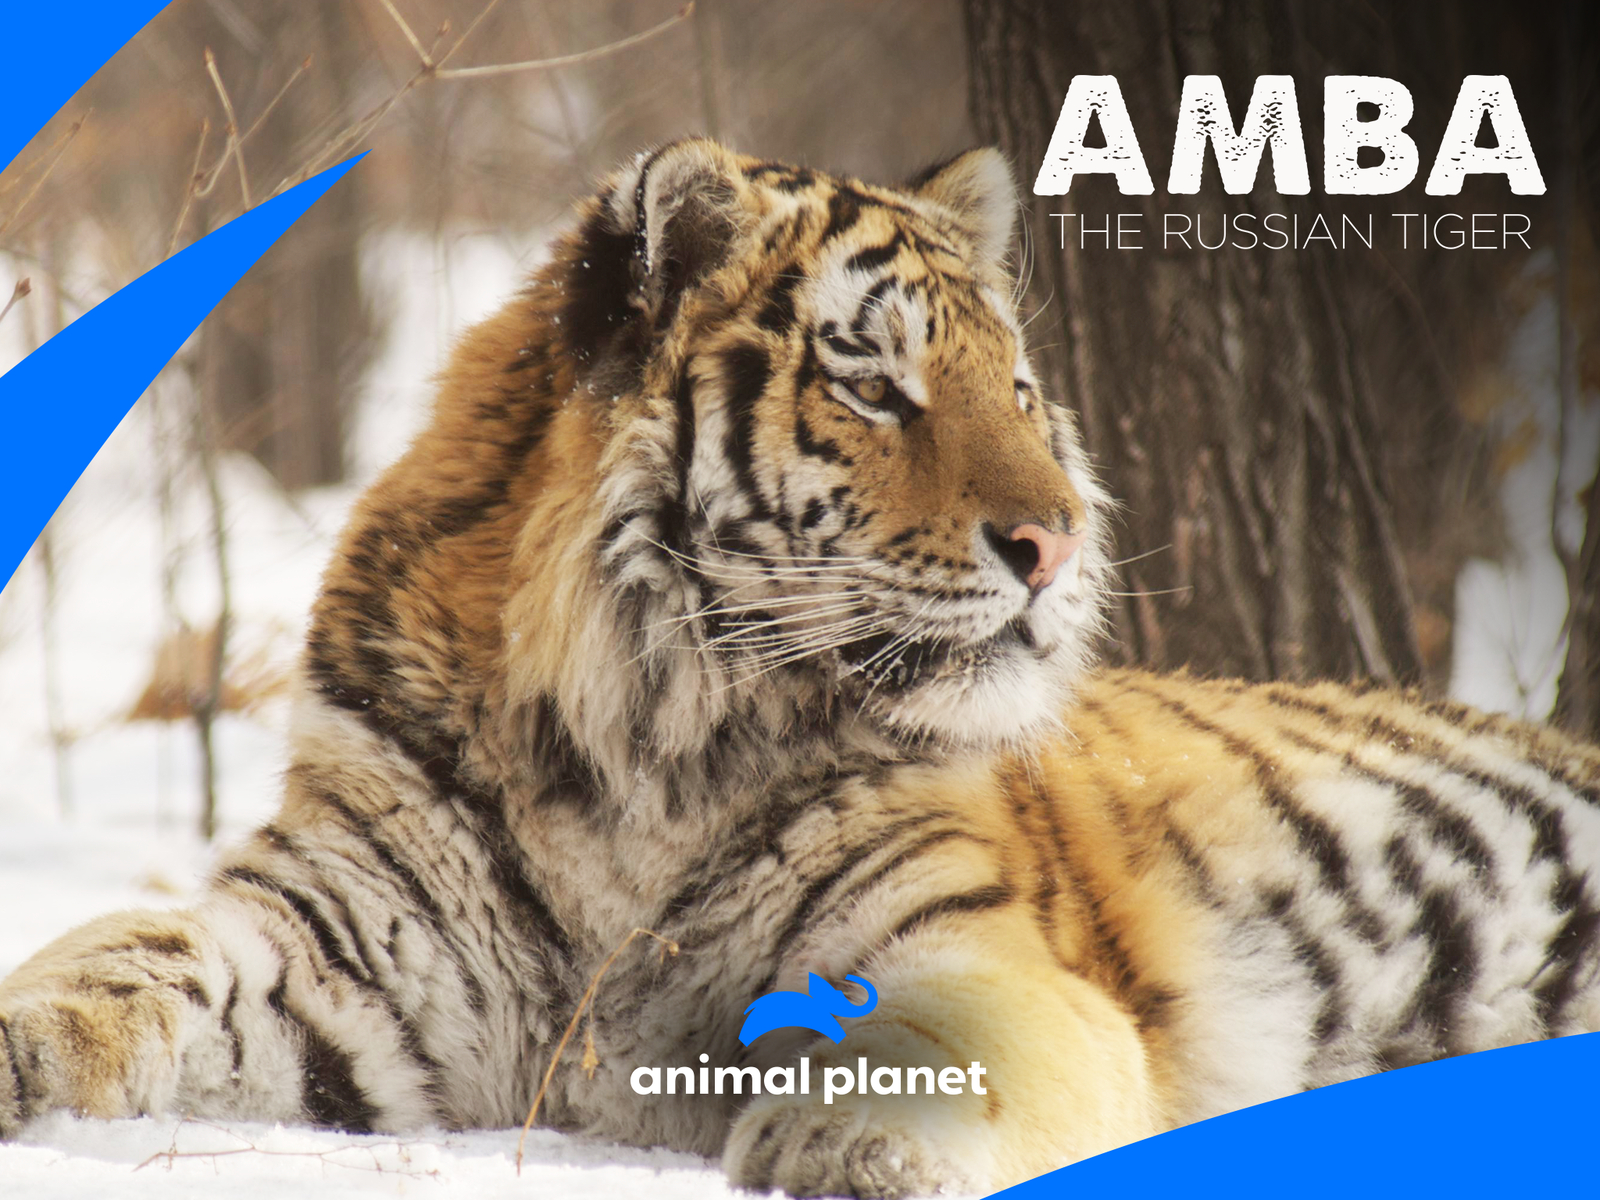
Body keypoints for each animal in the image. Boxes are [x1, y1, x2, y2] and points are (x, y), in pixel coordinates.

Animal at [2, 137, 1598, 1199]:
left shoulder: (973, 945)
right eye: (876, 385)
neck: (634, 761)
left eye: (1020, 390)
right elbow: (118, 956)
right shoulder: (332, 947)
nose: (1063, 542)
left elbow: (934, 1043)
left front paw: (843, 1140)